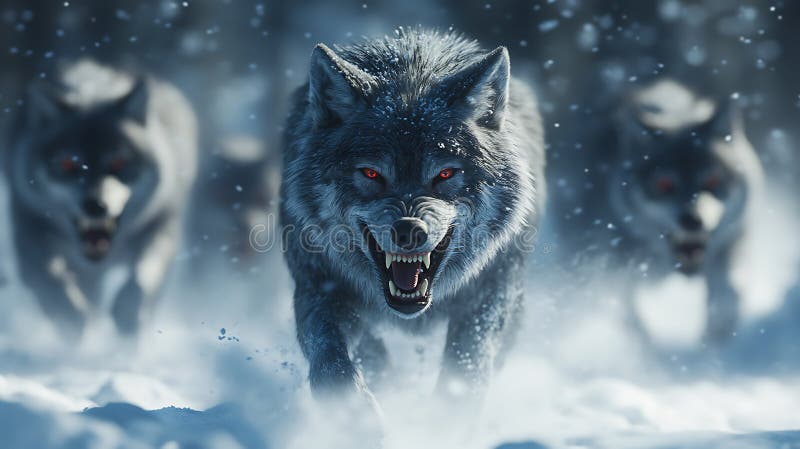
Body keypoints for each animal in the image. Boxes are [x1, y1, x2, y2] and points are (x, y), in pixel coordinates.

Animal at [4, 59, 198, 337]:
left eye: (119, 162)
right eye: (68, 163)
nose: (95, 206)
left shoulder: (162, 225)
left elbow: (143, 275)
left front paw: (127, 315)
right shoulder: (28, 229)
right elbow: (51, 278)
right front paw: (72, 319)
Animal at [281, 28, 545, 411]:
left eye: (445, 174)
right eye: (372, 174)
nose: (408, 231)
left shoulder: (491, 291)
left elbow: (468, 362)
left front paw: (444, 414)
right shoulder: (319, 284)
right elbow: (329, 355)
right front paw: (355, 411)